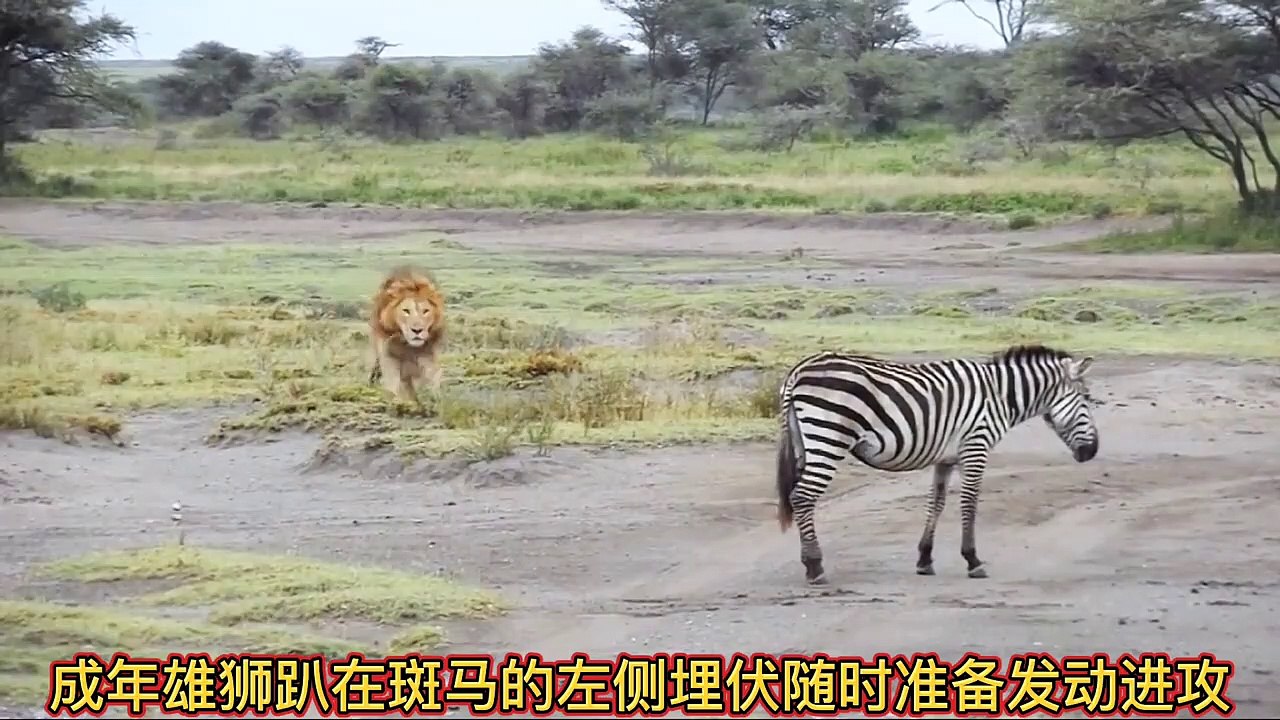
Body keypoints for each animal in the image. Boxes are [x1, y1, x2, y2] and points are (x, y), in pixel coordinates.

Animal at [774, 343, 1099, 585]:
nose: (1092, 451)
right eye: (1086, 398)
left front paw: (924, 559)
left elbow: (937, 503)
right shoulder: (976, 446)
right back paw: (815, 567)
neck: (1000, 396)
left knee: (799, 497)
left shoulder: (946, 458)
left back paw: (809, 563)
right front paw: (973, 560)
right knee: (803, 496)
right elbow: (969, 503)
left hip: (806, 443)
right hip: (828, 437)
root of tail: (799, 369)